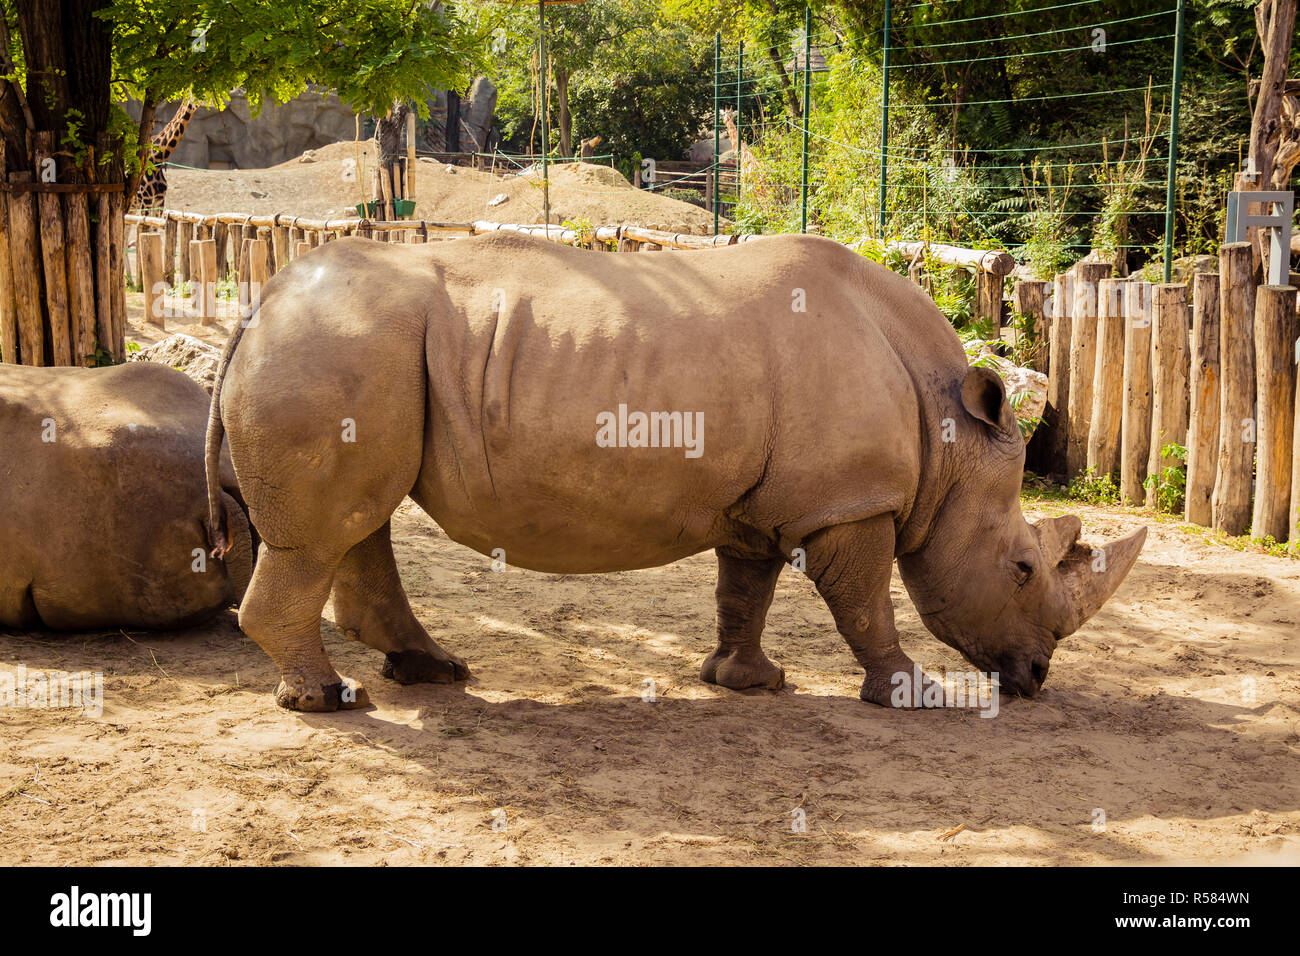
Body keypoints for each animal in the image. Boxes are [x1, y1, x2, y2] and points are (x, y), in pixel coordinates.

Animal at [204, 232, 1146, 712]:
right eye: (1021, 568)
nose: (1035, 680)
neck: (950, 440)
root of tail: (261, 301)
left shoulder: (765, 501)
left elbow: (746, 587)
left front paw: (747, 682)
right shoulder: (850, 503)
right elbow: (865, 601)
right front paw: (915, 694)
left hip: (355, 352)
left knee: (361, 517)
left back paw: (429, 672)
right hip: (336, 346)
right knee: (326, 533)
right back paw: (325, 699)